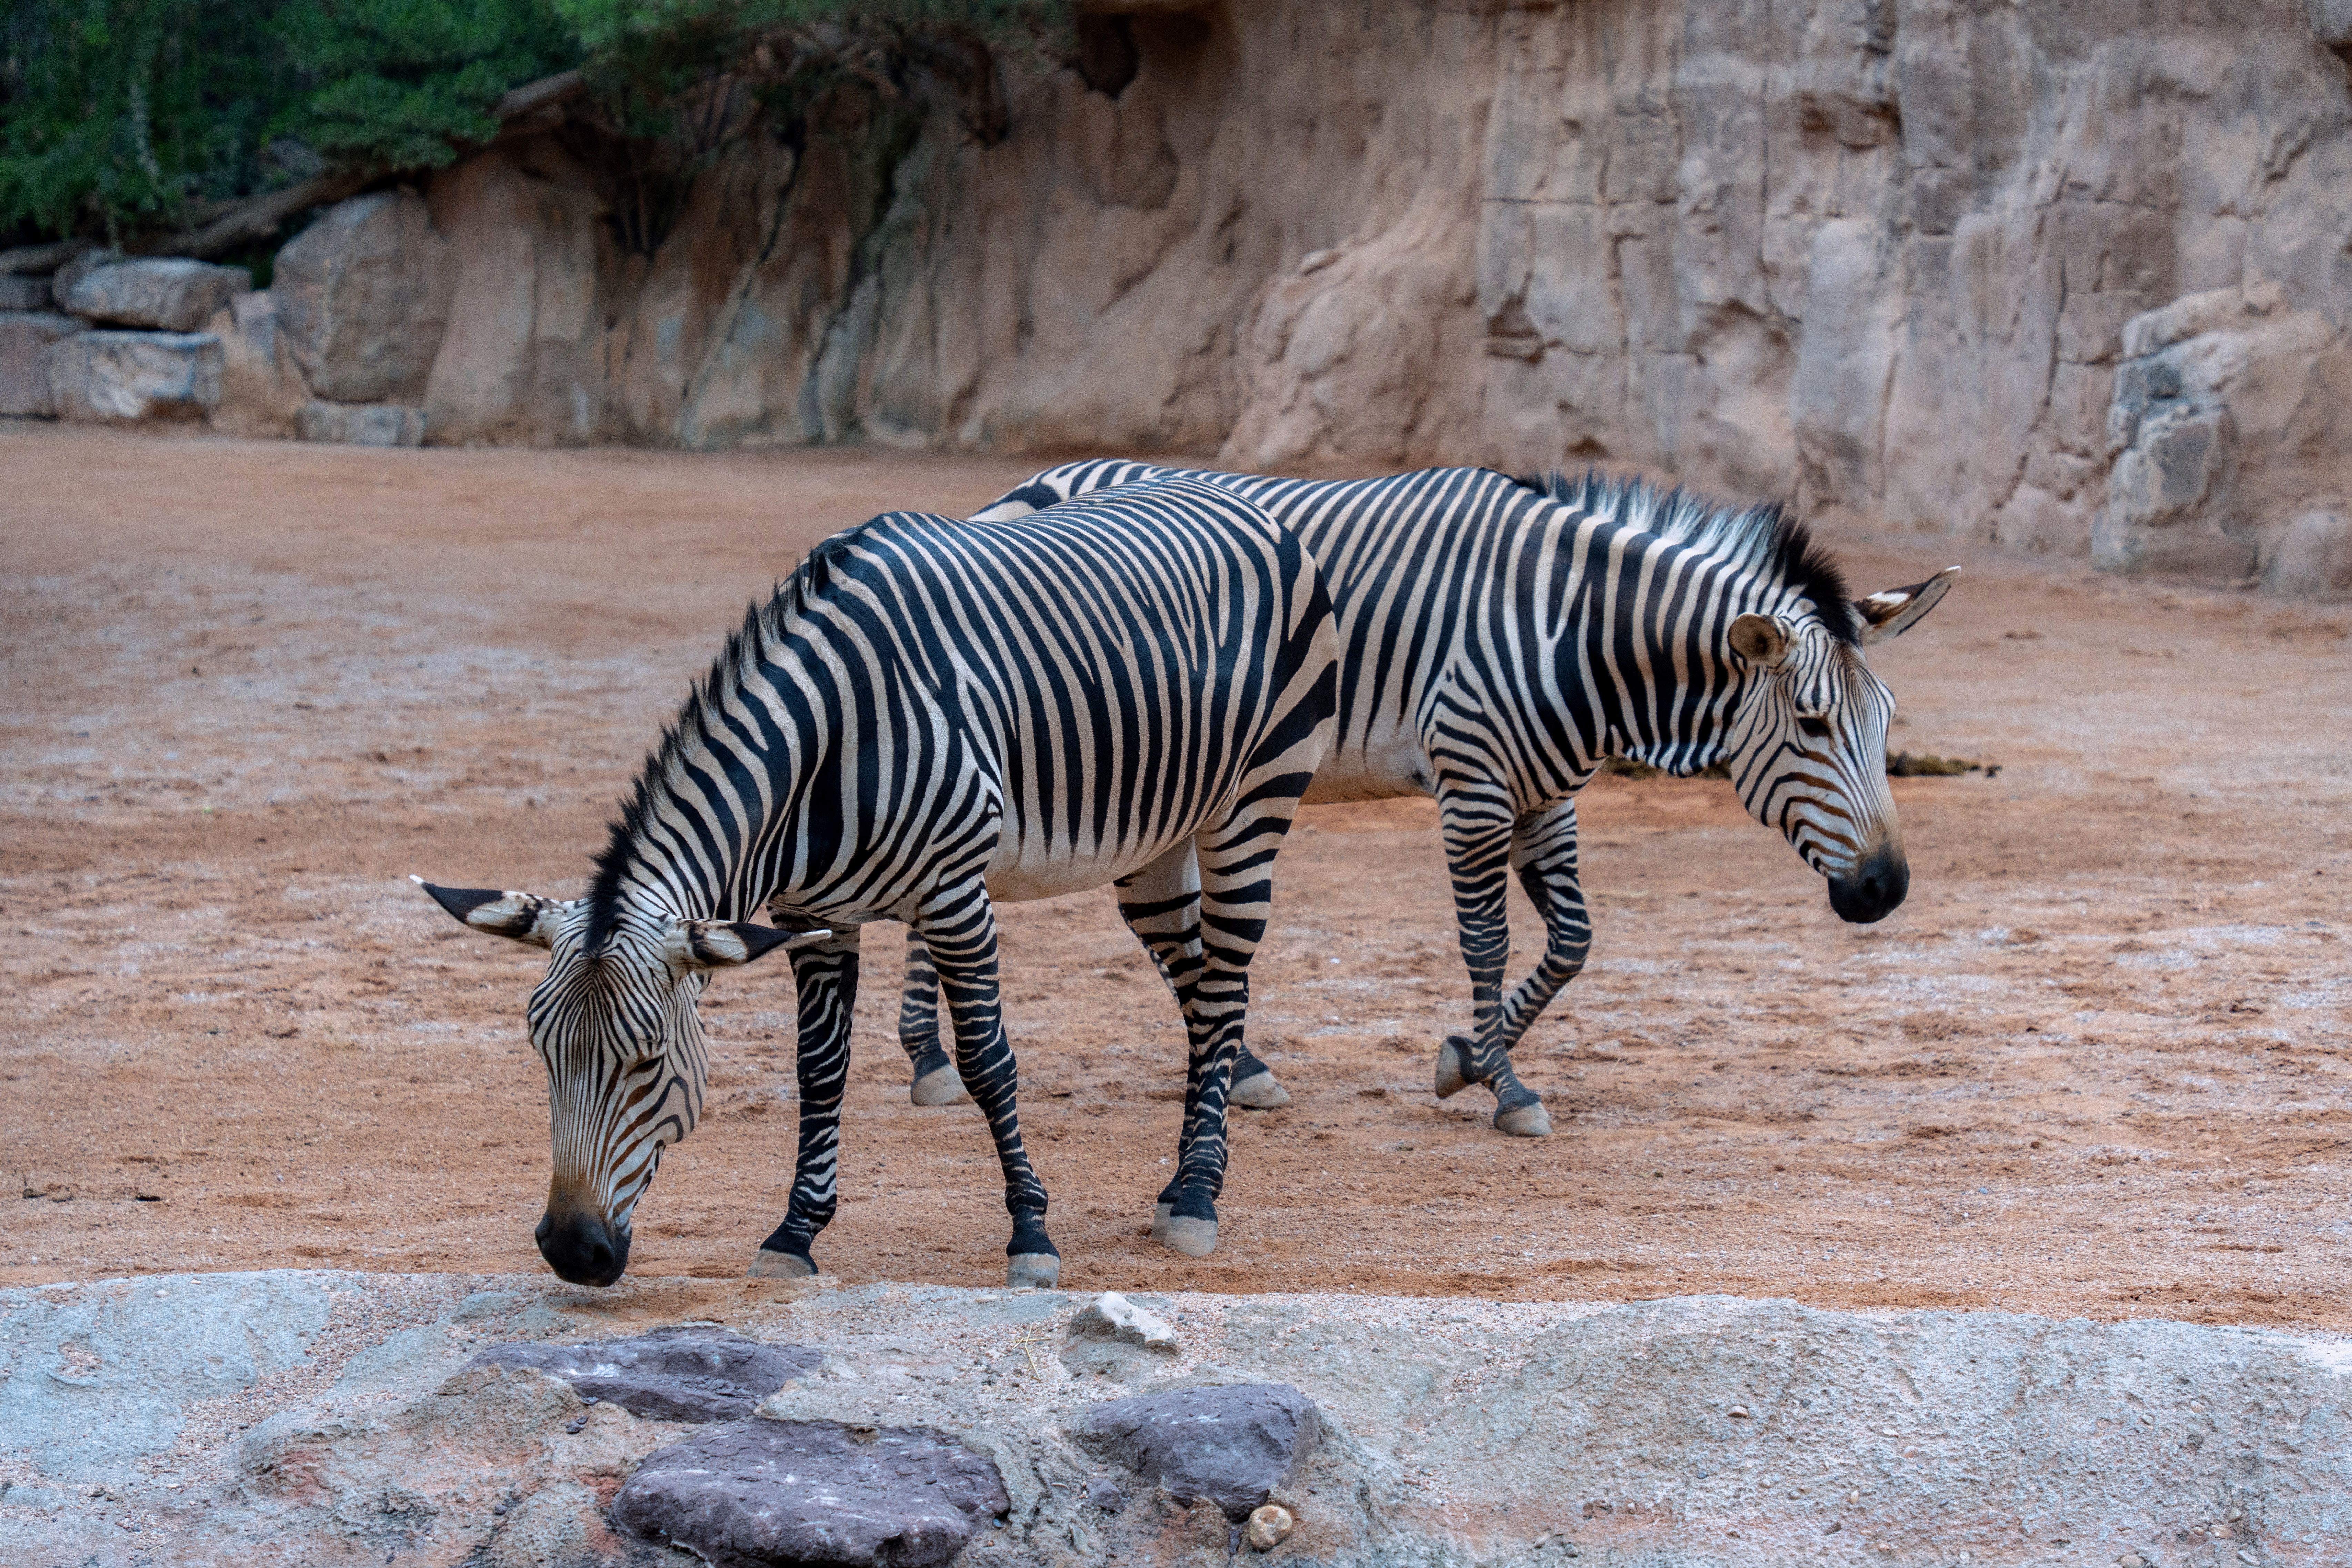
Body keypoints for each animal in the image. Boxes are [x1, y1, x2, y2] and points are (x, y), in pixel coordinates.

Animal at [417, 476, 1339, 1287]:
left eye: (646, 1061)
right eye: (541, 1054)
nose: (573, 1251)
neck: (824, 741)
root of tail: (1228, 494)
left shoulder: (955, 895)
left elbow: (988, 1061)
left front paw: (1031, 1234)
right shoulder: (811, 915)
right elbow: (819, 1069)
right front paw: (794, 1233)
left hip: (1251, 807)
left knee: (1223, 985)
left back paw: (1199, 1195)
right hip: (1155, 844)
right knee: (1200, 990)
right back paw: (1183, 1176)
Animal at [889, 462, 1958, 1138]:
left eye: (1884, 722)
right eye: (1813, 725)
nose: (1886, 890)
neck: (1578, 634)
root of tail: (1015, 492)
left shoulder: (1545, 794)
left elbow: (1572, 941)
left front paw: (1466, 1058)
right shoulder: (1473, 782)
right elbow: (1484, 940)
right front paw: (1499, 1085)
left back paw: (1239, 1067)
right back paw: (931, 1062)